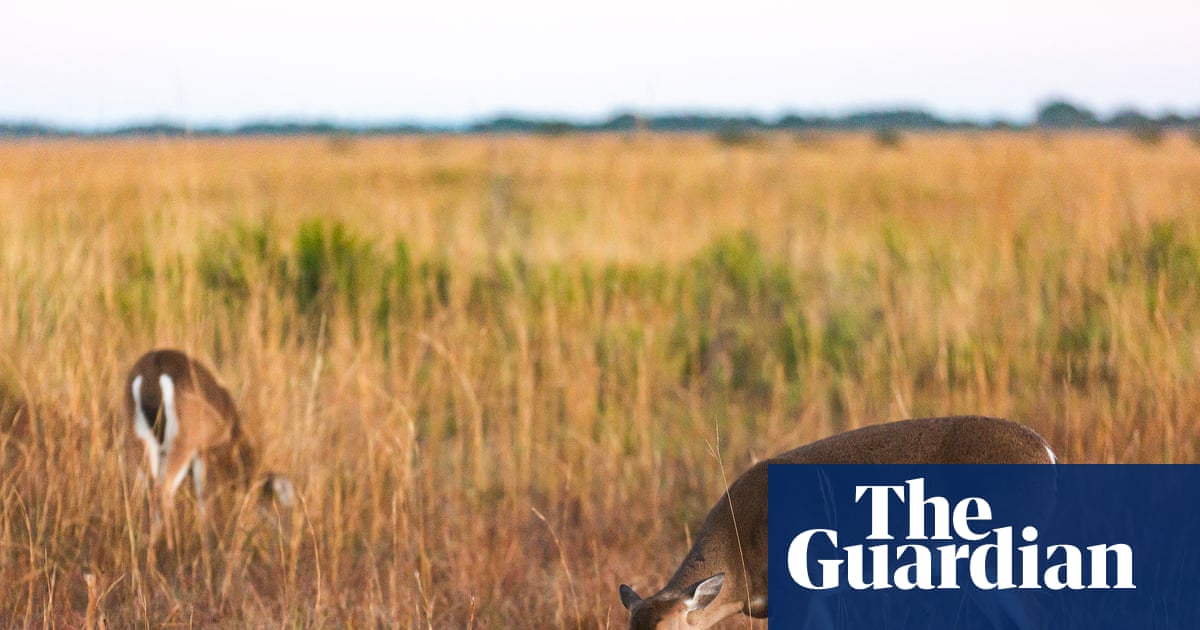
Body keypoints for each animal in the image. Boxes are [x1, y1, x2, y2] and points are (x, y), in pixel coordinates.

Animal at [124, 348, 294, 548]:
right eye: (278, 503)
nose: (289, 537)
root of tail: (154, 372)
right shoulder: (203, 454)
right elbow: (204, 503)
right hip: (181, 447)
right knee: (163, 493)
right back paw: (169, 547)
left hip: (138, 443)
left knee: (145, 493)